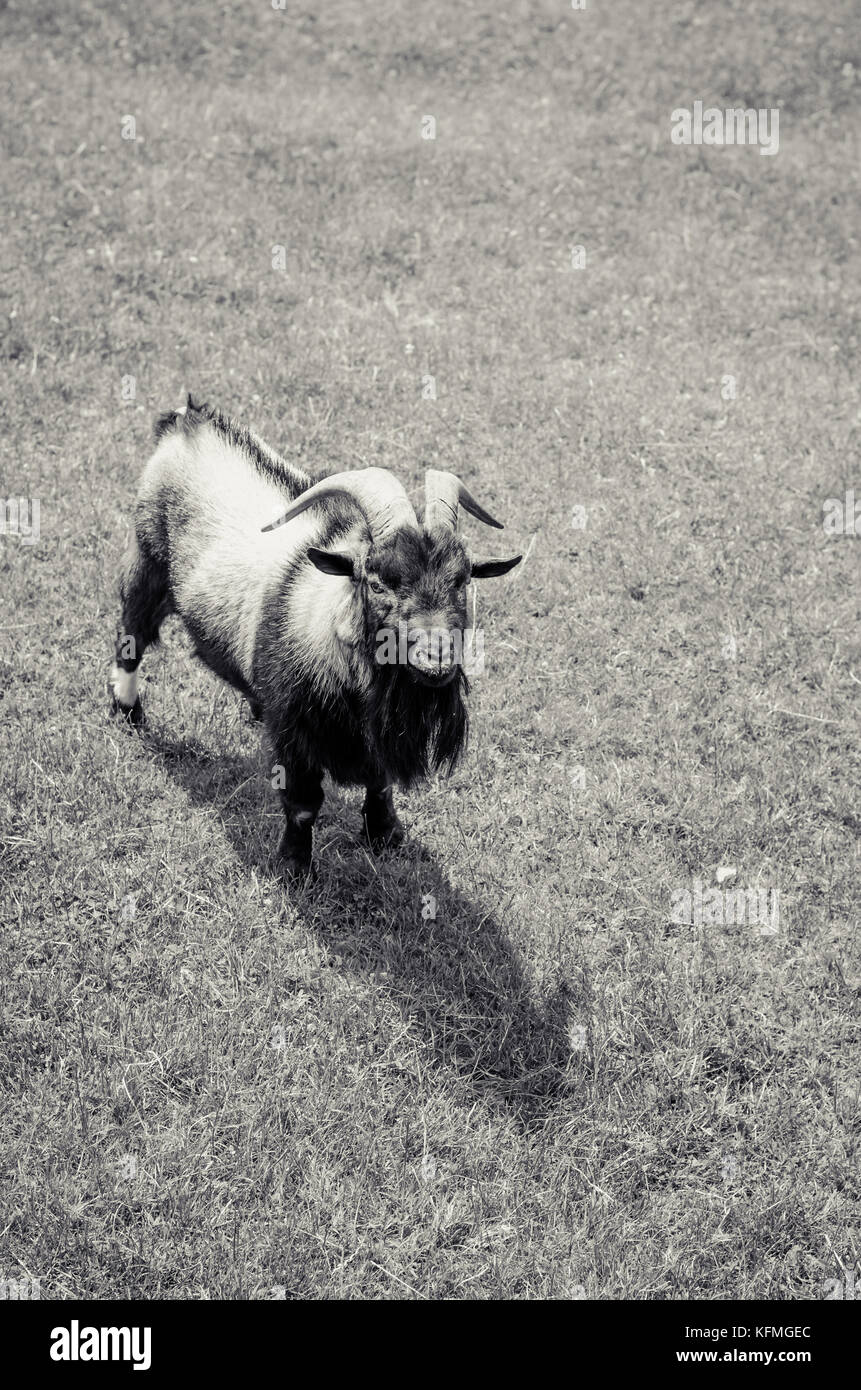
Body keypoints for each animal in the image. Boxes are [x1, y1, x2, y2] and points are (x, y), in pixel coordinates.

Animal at [109, 397, 521, 877]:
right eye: (376, 581)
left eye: (462, 580)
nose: (436, 661)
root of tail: (186, 421)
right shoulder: (295, 732)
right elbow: (304, 803)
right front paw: (294, 867)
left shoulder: (371, 739)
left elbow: (380, 783)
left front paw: (384, 835)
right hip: (146, 562)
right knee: (132, 636)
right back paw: (127, 710)